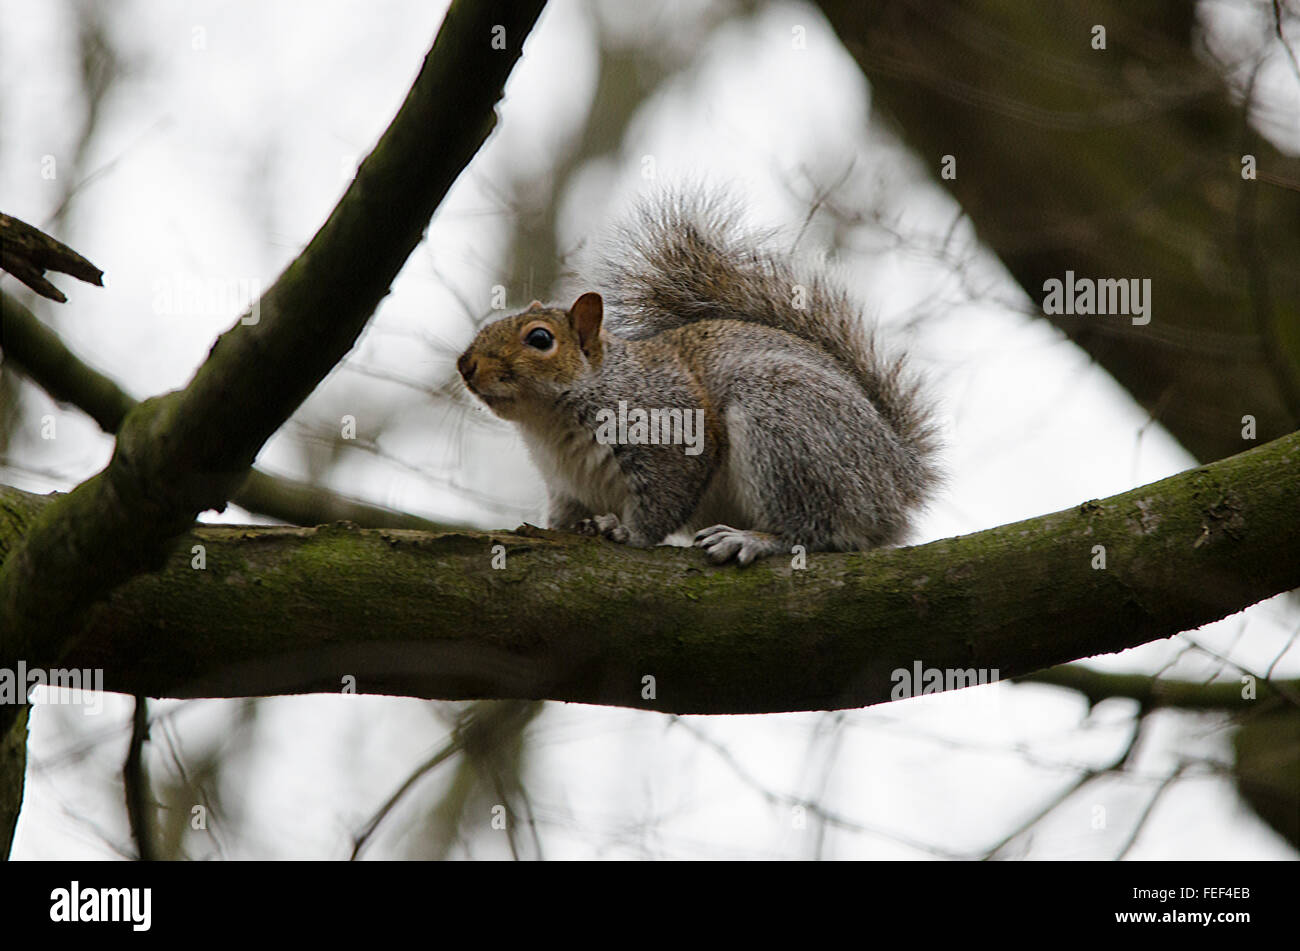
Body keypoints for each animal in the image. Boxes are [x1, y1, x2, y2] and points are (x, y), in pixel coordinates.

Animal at [454, 190, 935, 563]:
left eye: (539, 338)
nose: (465, 365)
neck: (550, 425)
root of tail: (900, 482)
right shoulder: (565, 488)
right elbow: (562, 517)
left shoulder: (670, 429)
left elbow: (663, 502)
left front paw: (626, 532)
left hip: (786, 423)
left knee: (821, 529)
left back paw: (754, 538)